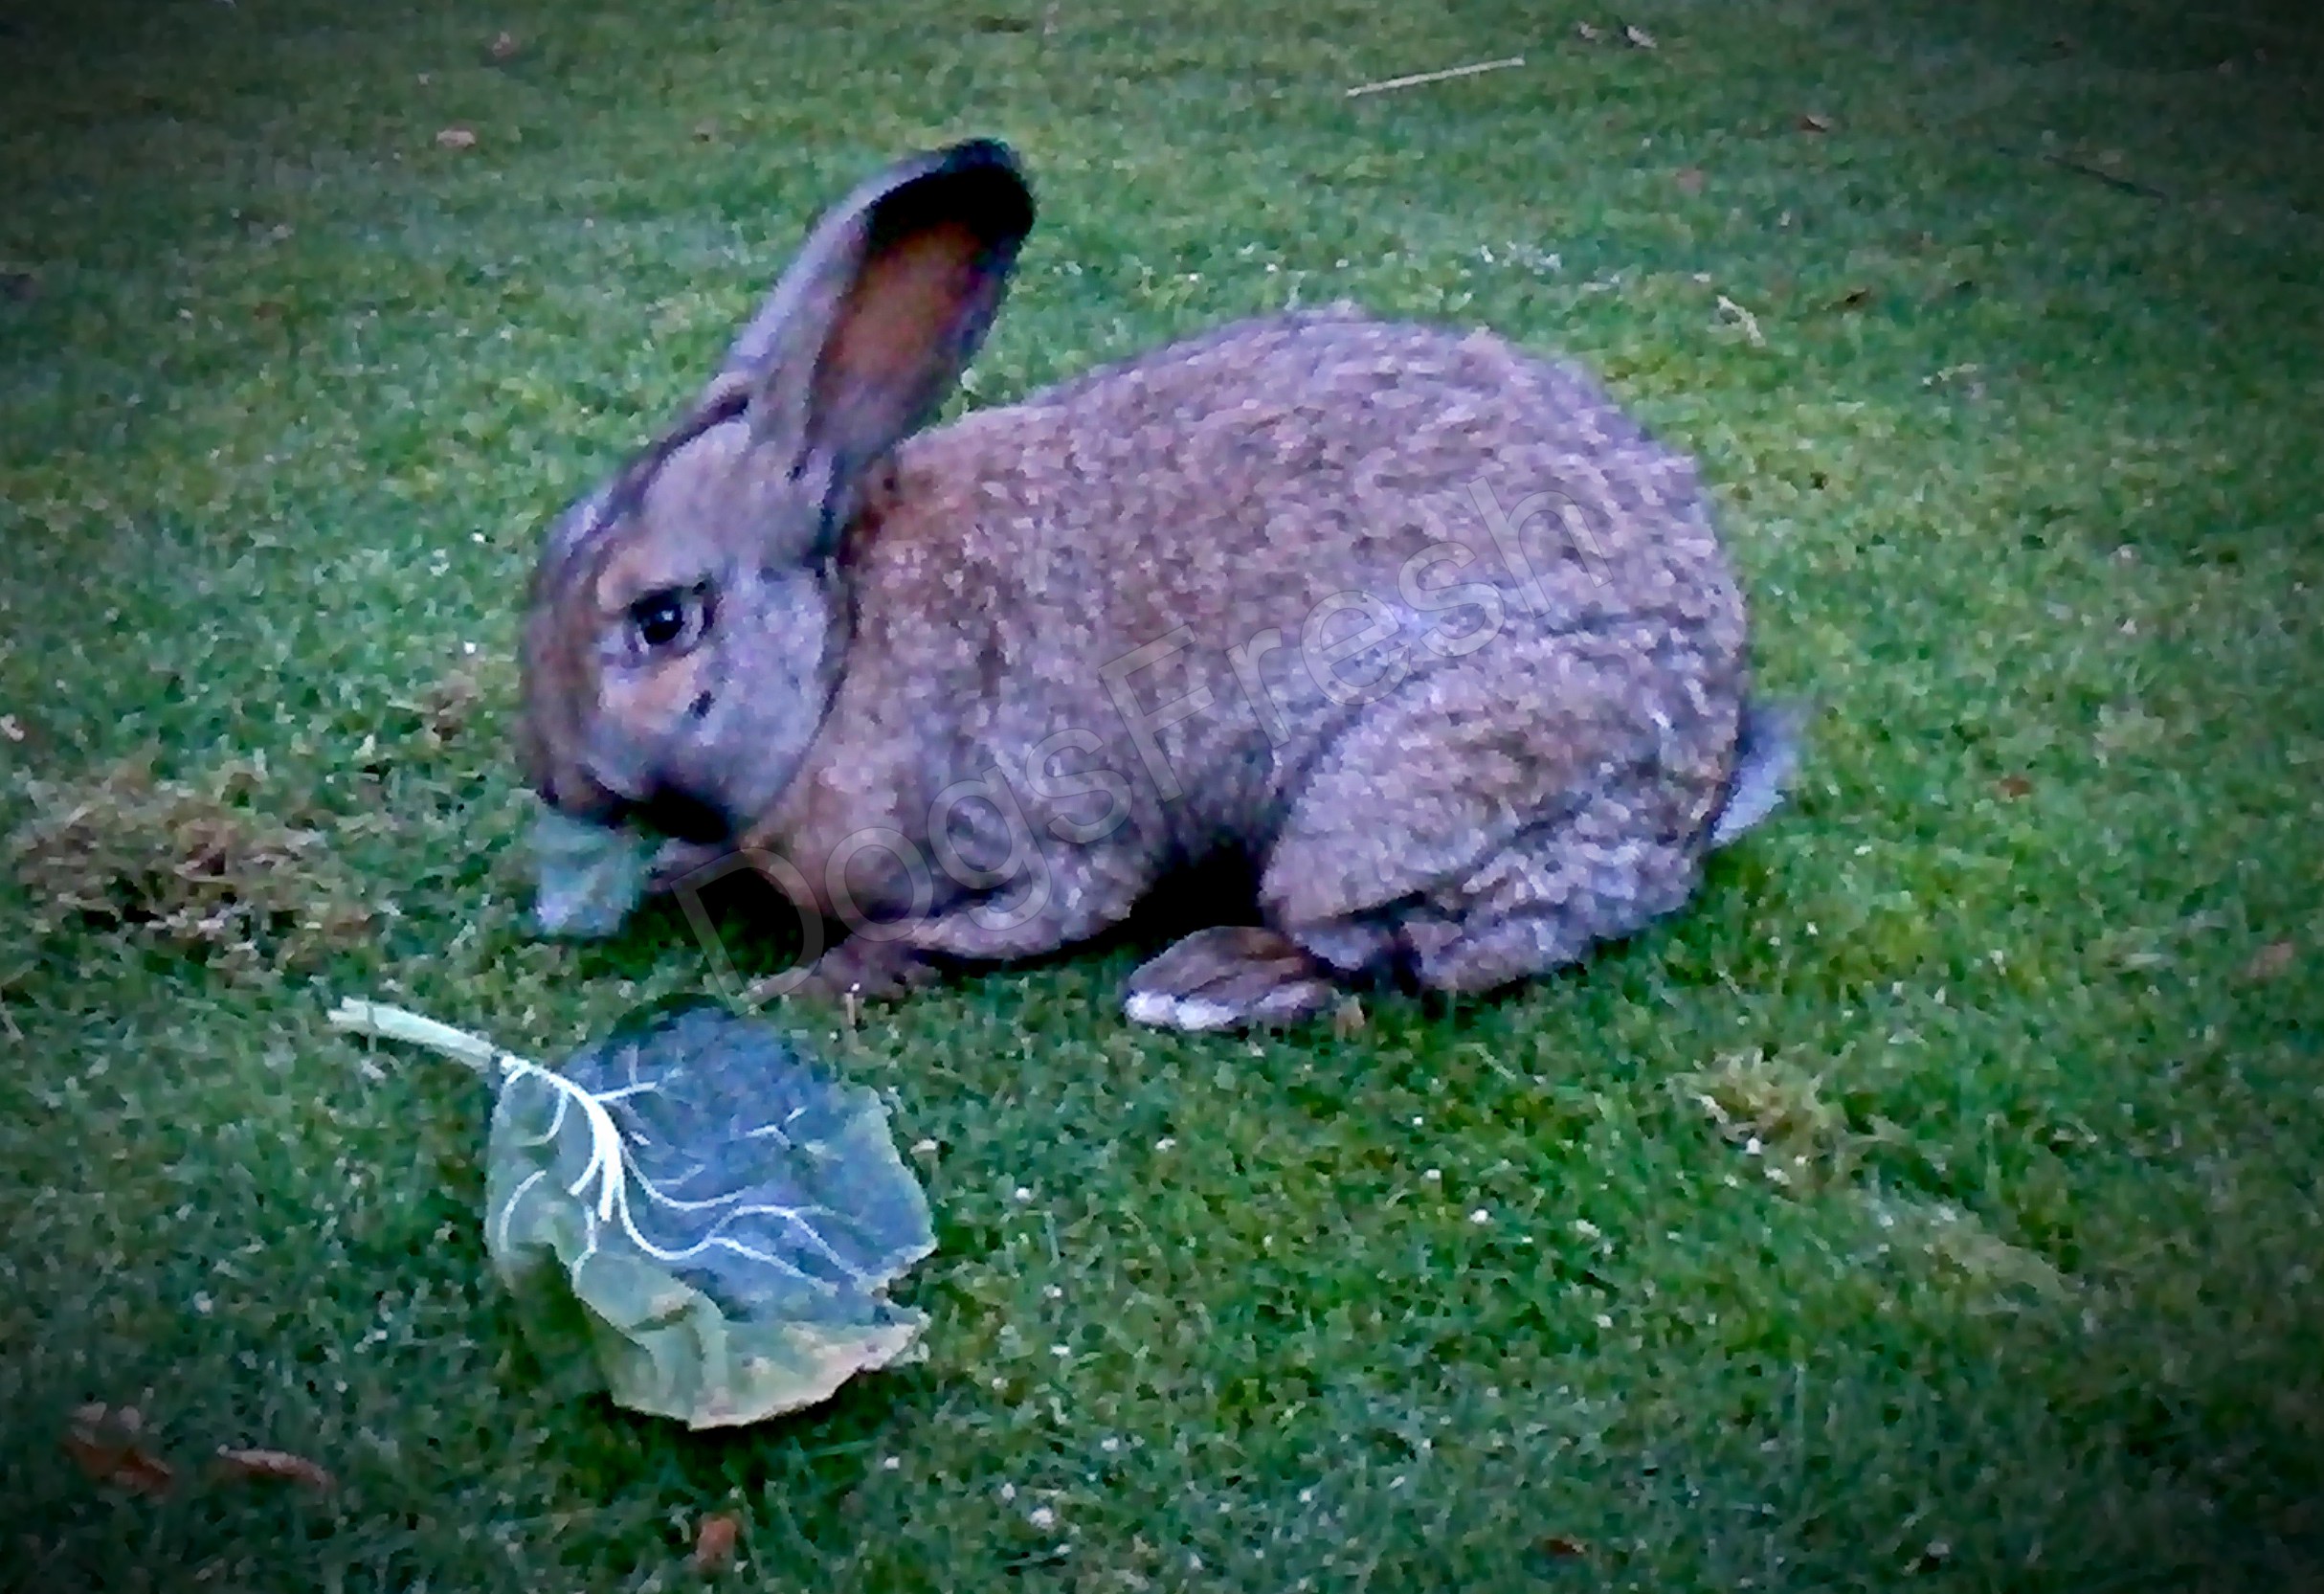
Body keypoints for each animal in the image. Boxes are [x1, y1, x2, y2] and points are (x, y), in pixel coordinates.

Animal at [518, 137, 1798, 1031]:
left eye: (663, 621)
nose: (555, 780)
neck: (838, 651)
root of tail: (1695, 807)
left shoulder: (1039, 846)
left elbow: (988, 924)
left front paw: (818, 981)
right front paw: (681, 868)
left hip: (1414, 783)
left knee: (1391, 942)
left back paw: (1208, 981)